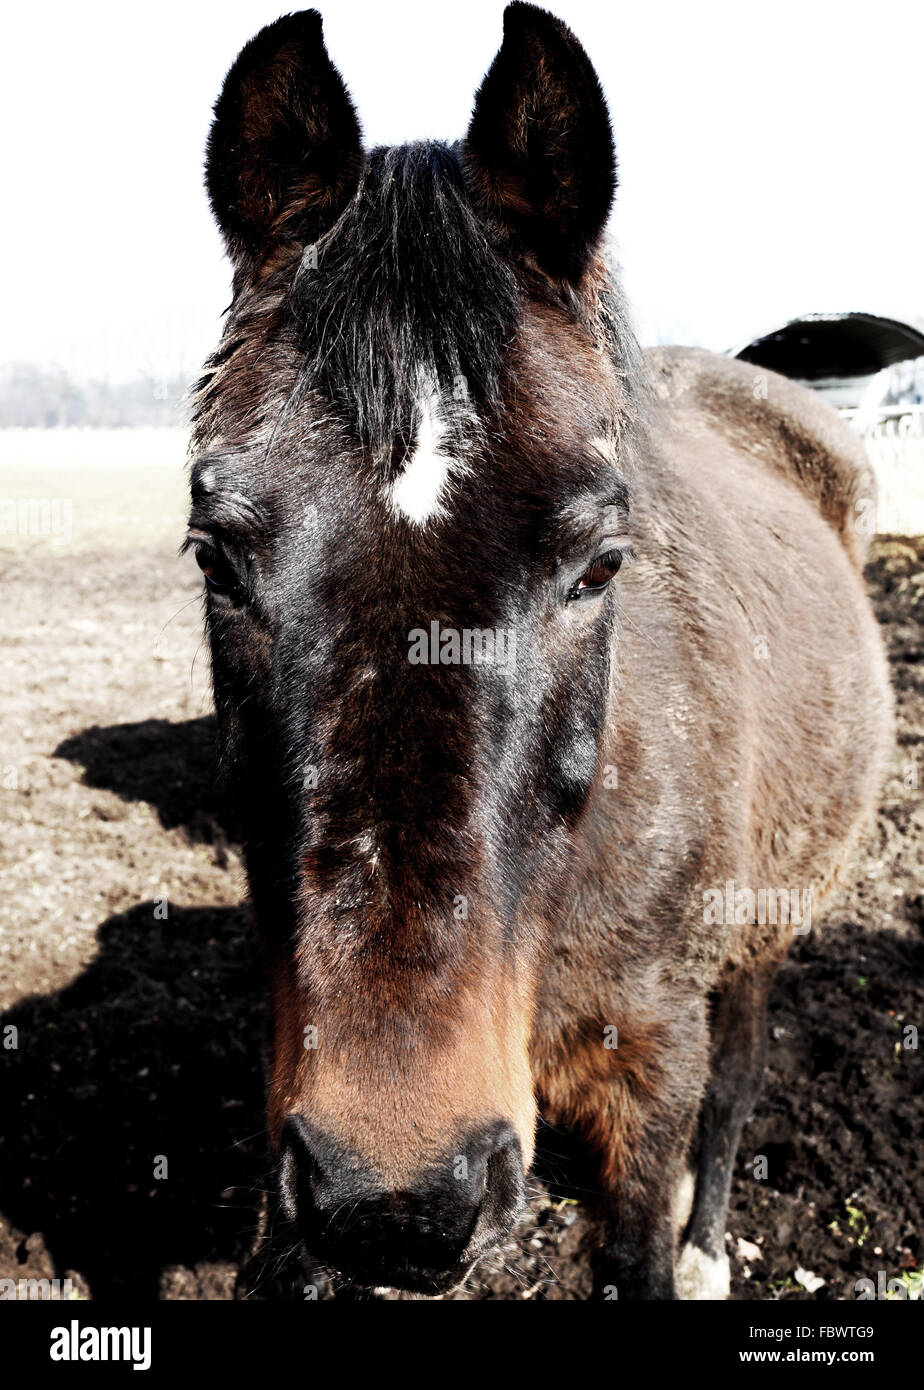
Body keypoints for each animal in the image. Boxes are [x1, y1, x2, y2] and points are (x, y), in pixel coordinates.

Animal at [190, 3, 893, 1298]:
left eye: (601, 562)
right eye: (216, 555)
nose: (396, 1191)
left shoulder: (653, 1063)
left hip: (768, 927)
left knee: (742, 1072)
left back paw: (713, 1243)